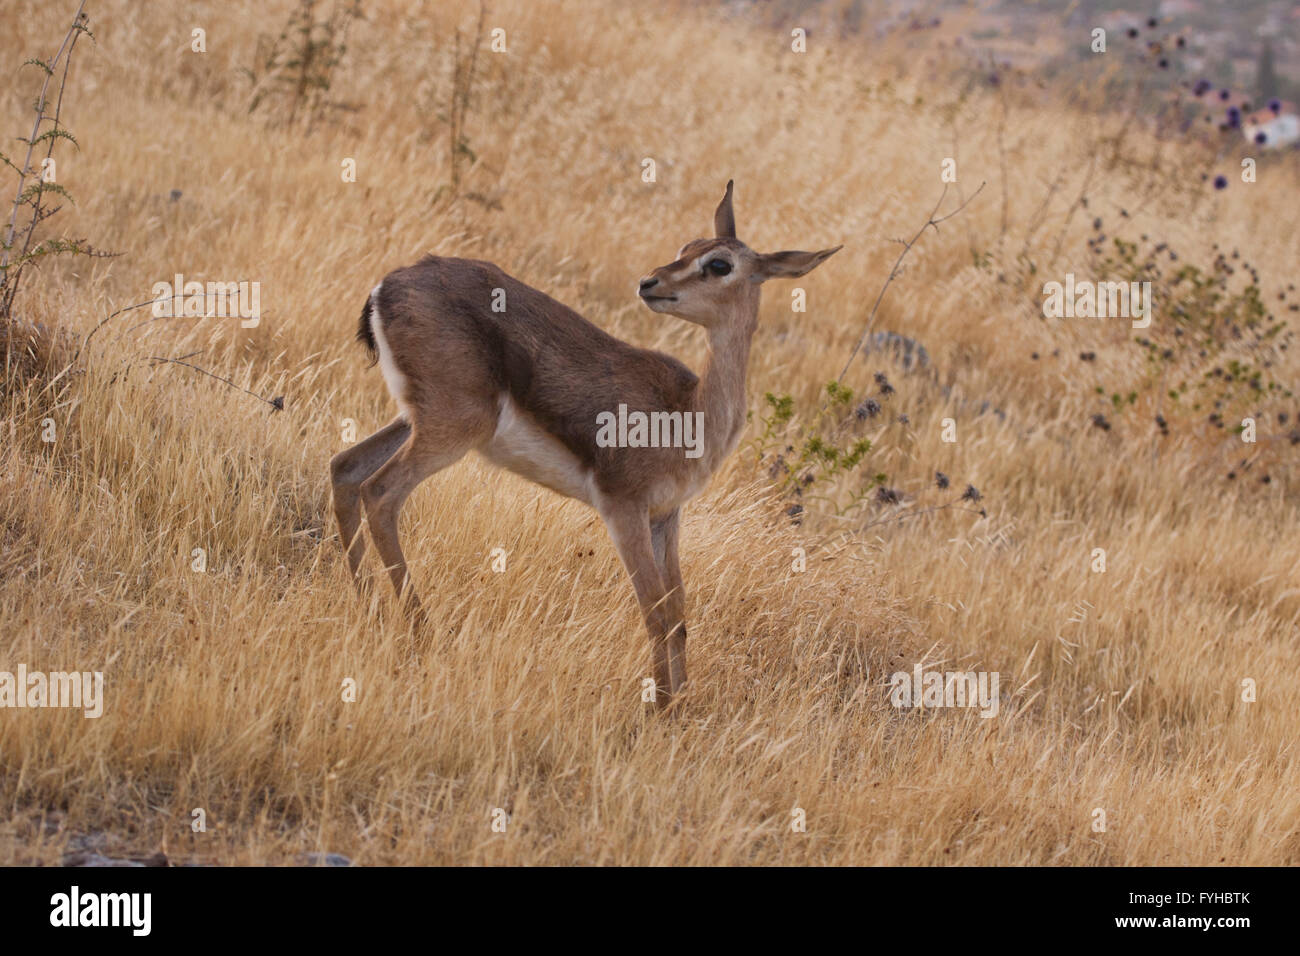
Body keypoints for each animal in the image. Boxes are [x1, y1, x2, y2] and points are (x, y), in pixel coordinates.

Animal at [330, 182, 840, 708]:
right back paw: (422, 633)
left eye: (717, 262)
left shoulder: (665, 517)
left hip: (416, 419)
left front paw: (679, 704)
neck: (689, 412)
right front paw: (659, 709)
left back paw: (370, 611)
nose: (650, 282)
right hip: (451, 429)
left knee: (345, 467)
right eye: (688, 249)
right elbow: (654, 613)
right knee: (380, 493)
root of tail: (387, 287)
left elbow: (677, 612)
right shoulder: (622, 508)